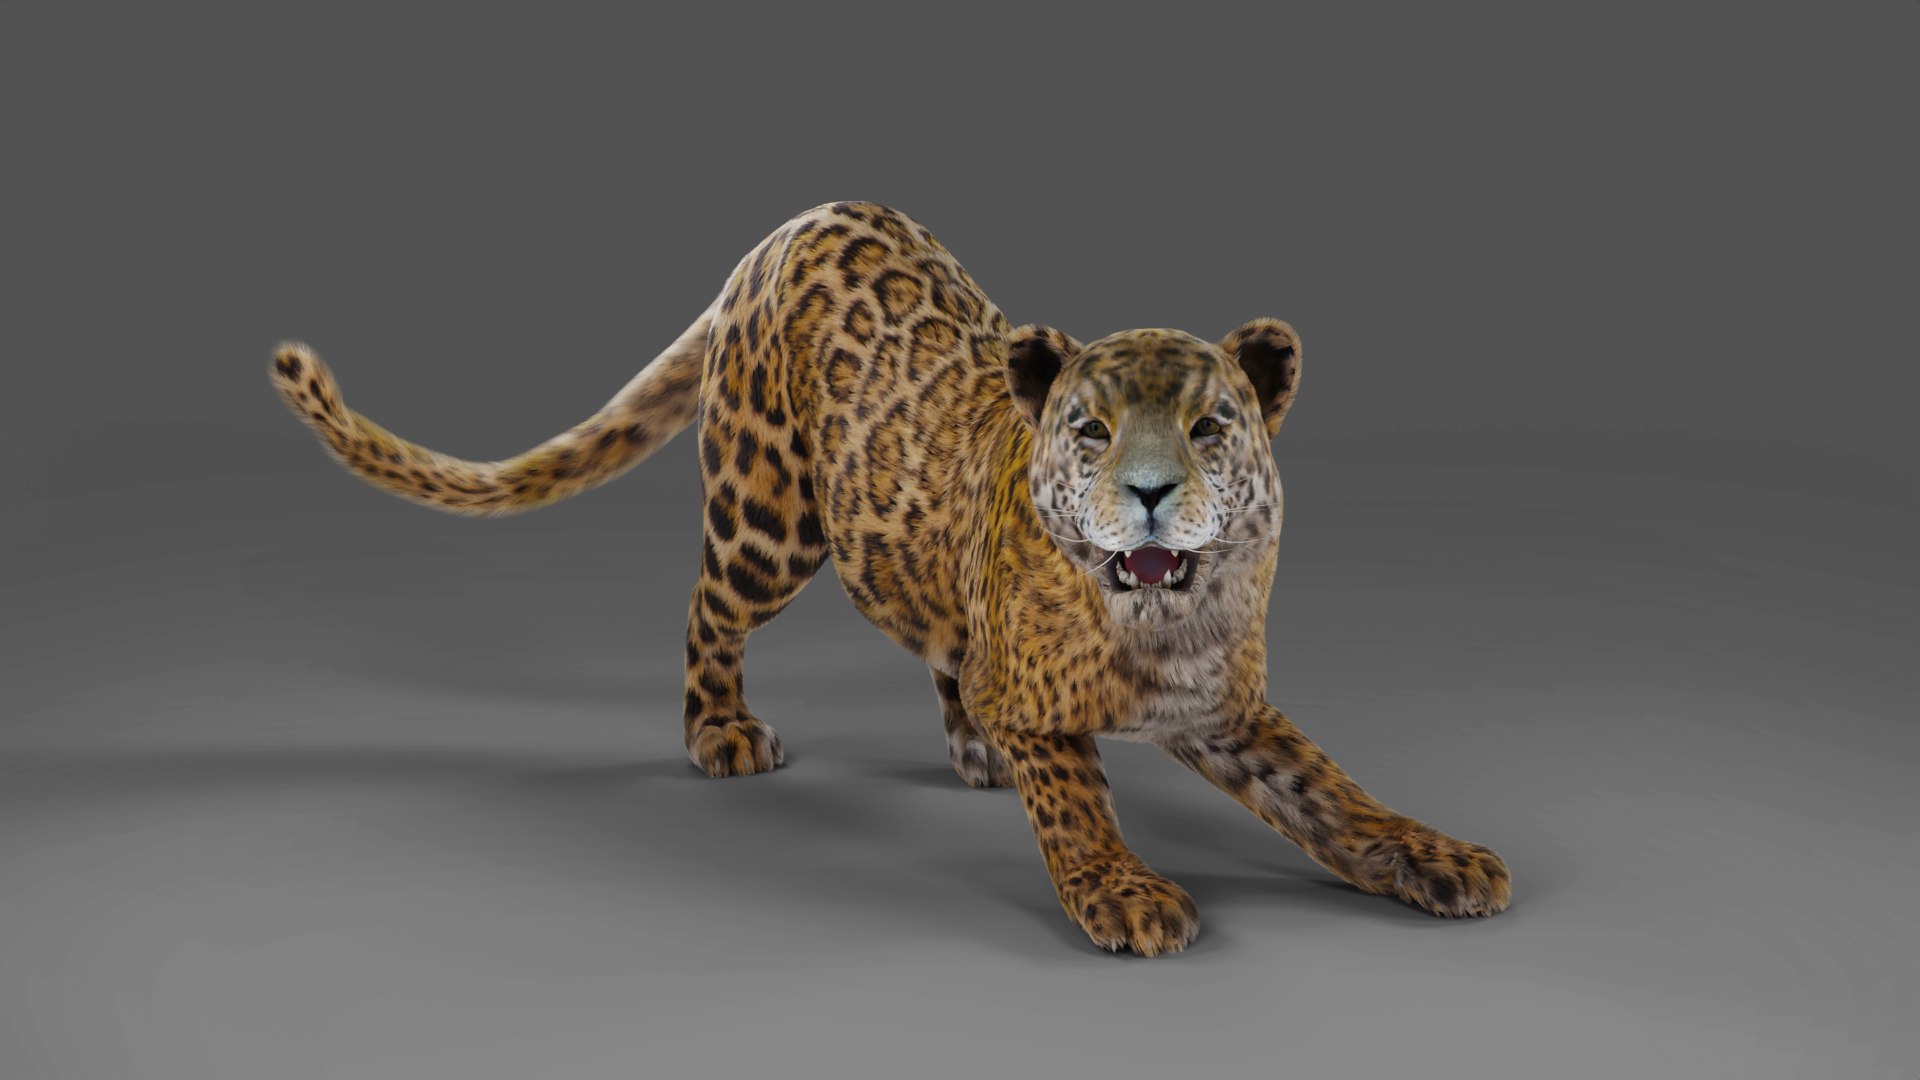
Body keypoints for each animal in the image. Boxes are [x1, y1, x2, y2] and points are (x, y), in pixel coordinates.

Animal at [270, 201, 1511, 955]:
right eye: (1093, 431)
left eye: (1210, 427)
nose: (1153, 493)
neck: (1157, 620)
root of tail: (784, 230)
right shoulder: (1046, 702)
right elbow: (1078, 797)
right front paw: (1125, 891)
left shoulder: (1226, 708)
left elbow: (1334, 794)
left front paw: (1441, 858)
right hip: (769, 520)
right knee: (707, 608)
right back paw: (721, 732)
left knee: (941, 643)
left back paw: (970, 753)